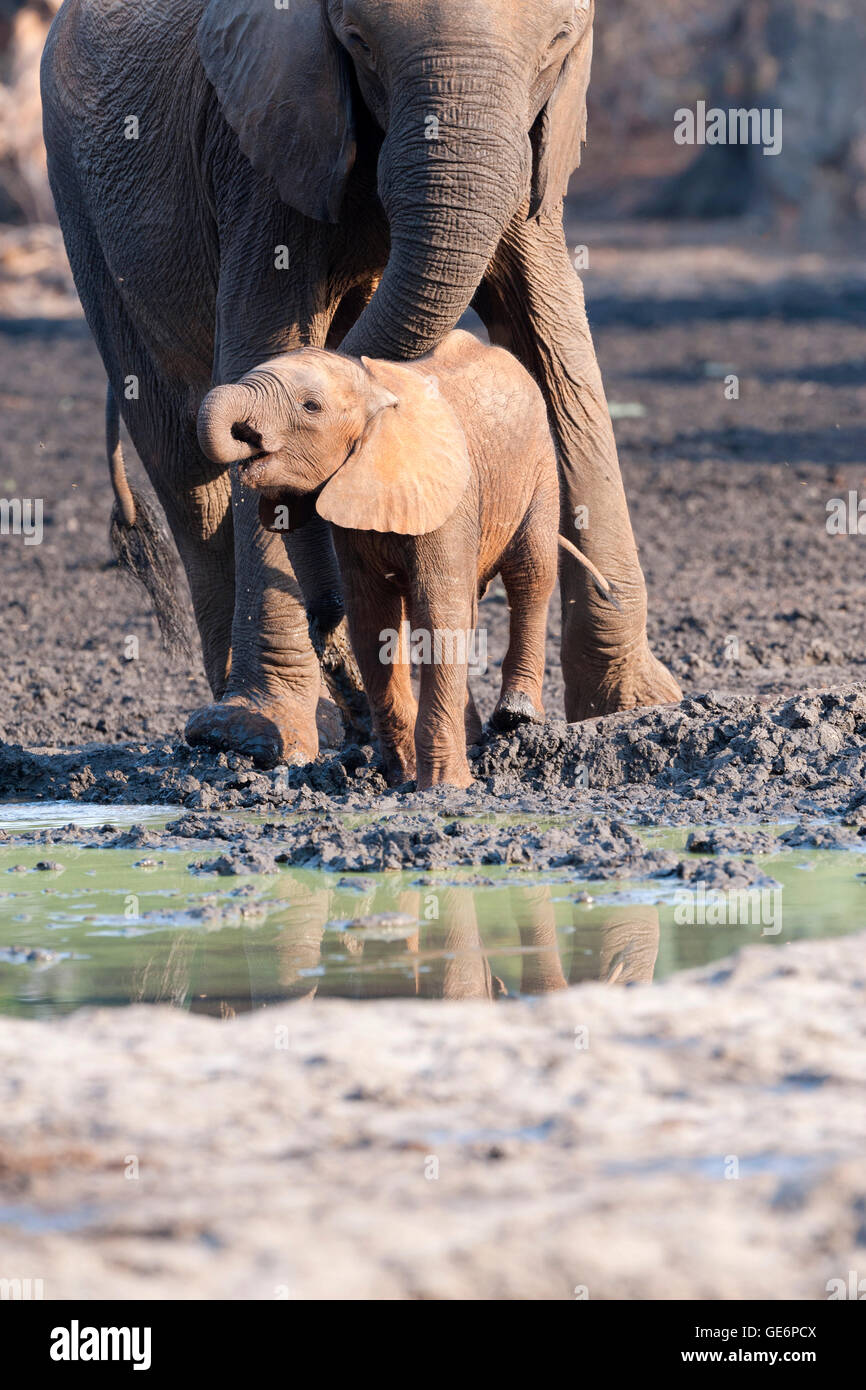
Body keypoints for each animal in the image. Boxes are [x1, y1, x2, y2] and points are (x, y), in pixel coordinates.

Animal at [197, 330, 567, 787]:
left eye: (310, 406)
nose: (245, 440)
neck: (375, 390)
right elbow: (373, 620)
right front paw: (400, 776)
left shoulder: (446, 497)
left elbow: (438, 614)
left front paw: (445, 788)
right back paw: (472, 737)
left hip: (539, 466)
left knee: (531, 573)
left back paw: (518, 717)